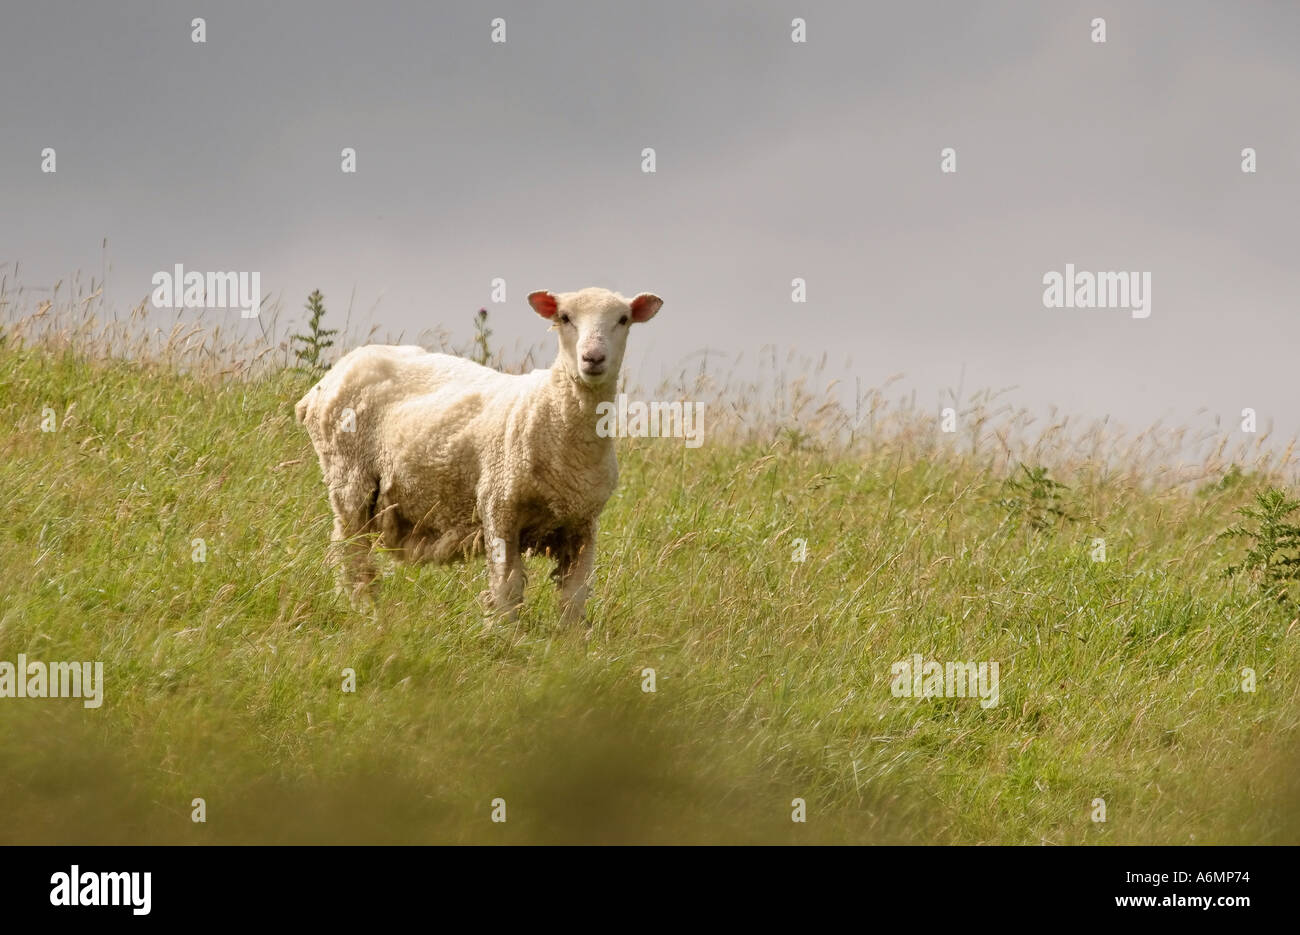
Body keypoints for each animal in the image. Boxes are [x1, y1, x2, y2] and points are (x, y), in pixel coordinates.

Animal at [295, 286, 663, 624]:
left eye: (623, 319)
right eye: (565, 317)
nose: (593, 358)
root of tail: (330, 377)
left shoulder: (583, 525)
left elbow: (574, 597)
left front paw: (569, 645)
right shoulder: (499, 507)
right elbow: (507, 588)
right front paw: (505, 635)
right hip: (349, 479)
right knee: (350, 553)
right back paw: (362, 609)